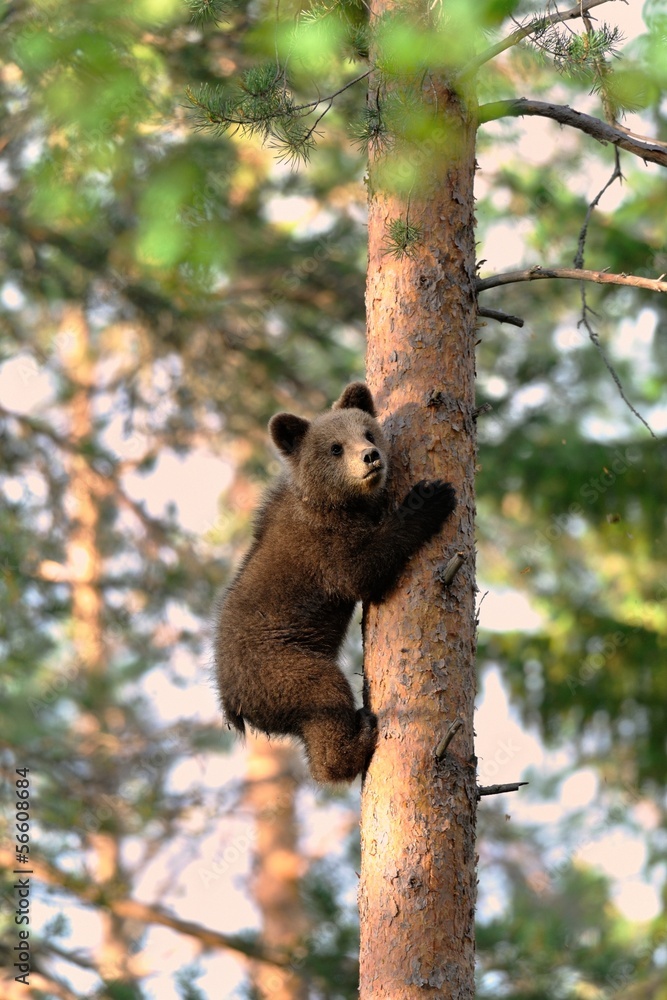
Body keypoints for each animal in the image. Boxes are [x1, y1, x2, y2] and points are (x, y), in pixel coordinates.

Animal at [215, 382, 457, 783]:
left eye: (368, 432)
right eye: (335, 447)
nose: (371, 457)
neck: (336, 503)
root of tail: (231, 703)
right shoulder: (323, 549)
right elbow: (364, 570)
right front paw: (431, 497)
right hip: (281, 664)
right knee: (324, 696)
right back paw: (361, 734)